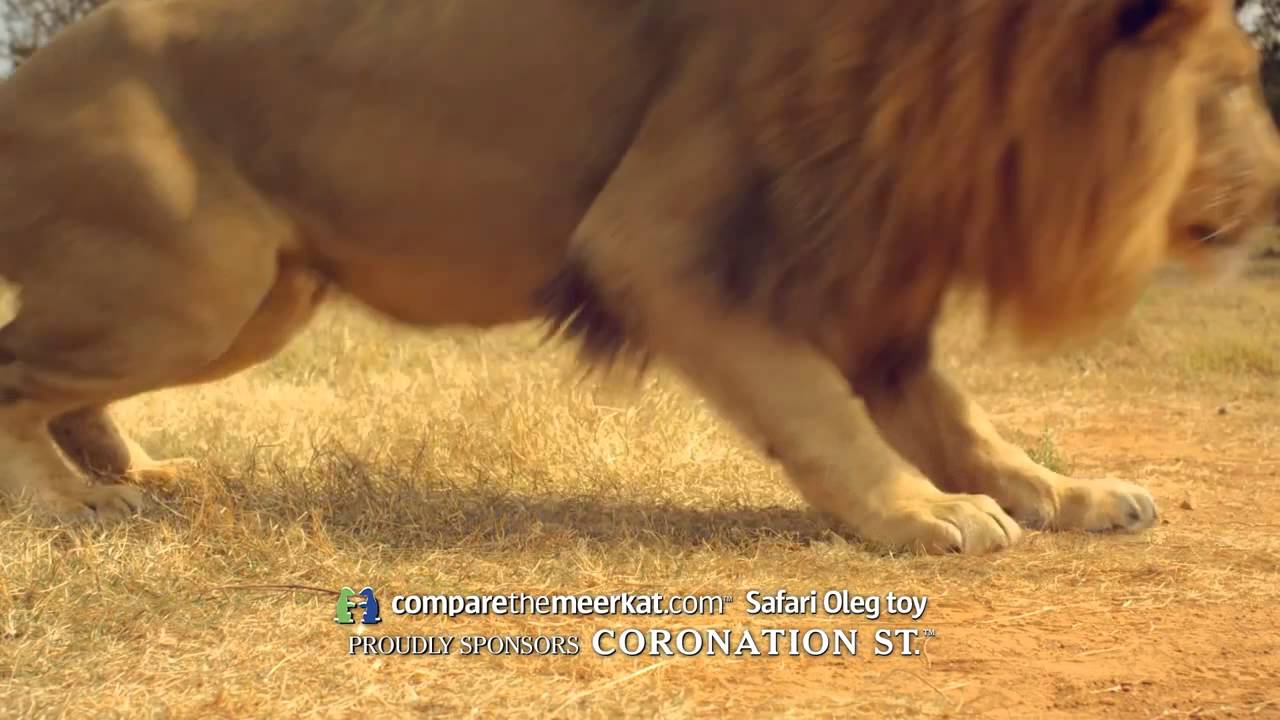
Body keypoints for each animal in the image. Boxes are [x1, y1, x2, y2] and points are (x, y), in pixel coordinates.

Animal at [0, 0, 1276, 555]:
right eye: (1224, 84)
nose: (1271, 191)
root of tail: (28, 74)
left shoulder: (862, 266)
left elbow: (965, 424)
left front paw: (1071, 495)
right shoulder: (657, 241)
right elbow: (820, 409)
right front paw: (919, 515)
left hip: (258, 298)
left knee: (72, 389)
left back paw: (139, 475)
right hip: (194, 283)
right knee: (18, 376)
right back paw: (73, 505)